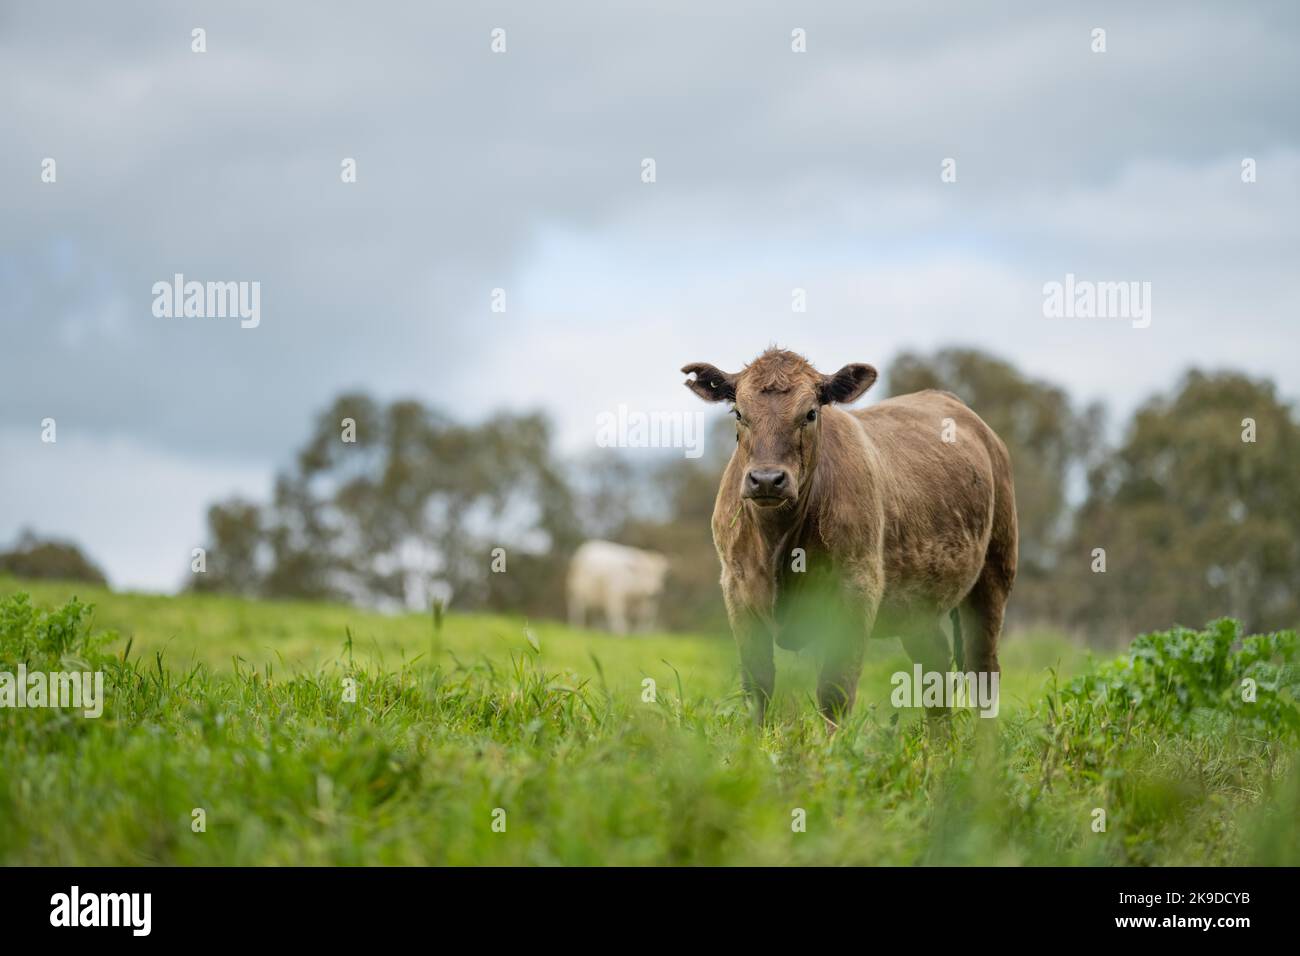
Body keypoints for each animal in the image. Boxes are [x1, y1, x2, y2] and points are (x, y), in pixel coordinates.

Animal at [682, 349, 1017, 728]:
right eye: (739, 412)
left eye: (810, 413)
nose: (767, 479)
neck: (778, 540)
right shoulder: (737, 588)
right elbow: (757, 686)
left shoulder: (856, 587)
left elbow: (835, 690)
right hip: (918, 603)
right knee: (935, 666)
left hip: (993, 575)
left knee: (982, 670)